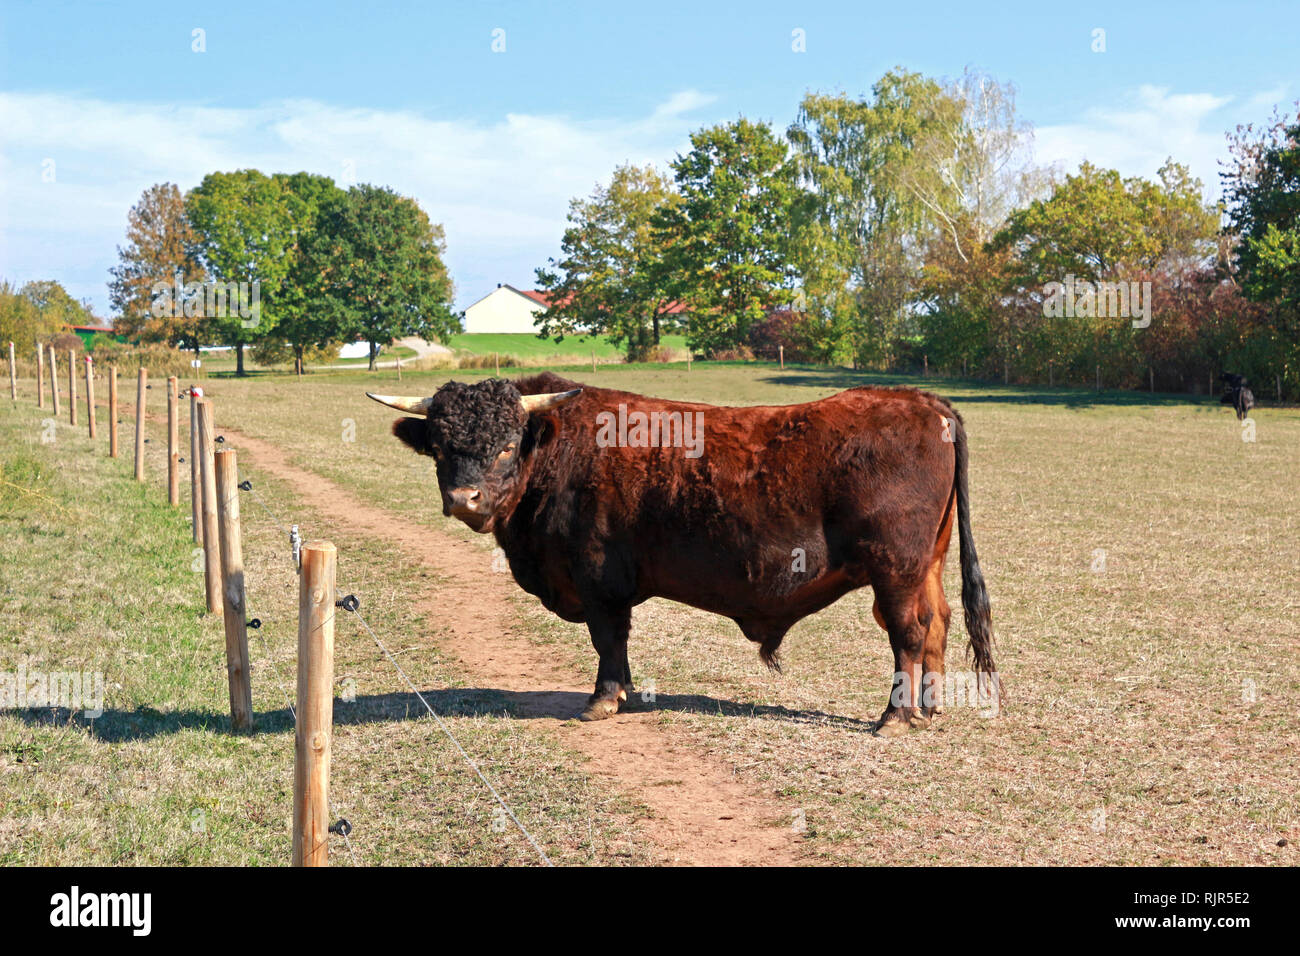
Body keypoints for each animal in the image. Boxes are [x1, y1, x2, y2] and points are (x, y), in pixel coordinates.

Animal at [368, 372, 998, 736]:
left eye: (504, 445)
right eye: (441, 446)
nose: (463, 498)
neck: (559, 450)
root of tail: (924, 402)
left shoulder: (598, 578)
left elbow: (608, 639)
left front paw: (603, 699)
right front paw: (620, 692)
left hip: (895, 570)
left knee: (908, 632)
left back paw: (895, 715)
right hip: (926, 565)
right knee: (938, 623)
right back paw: (929, 707)